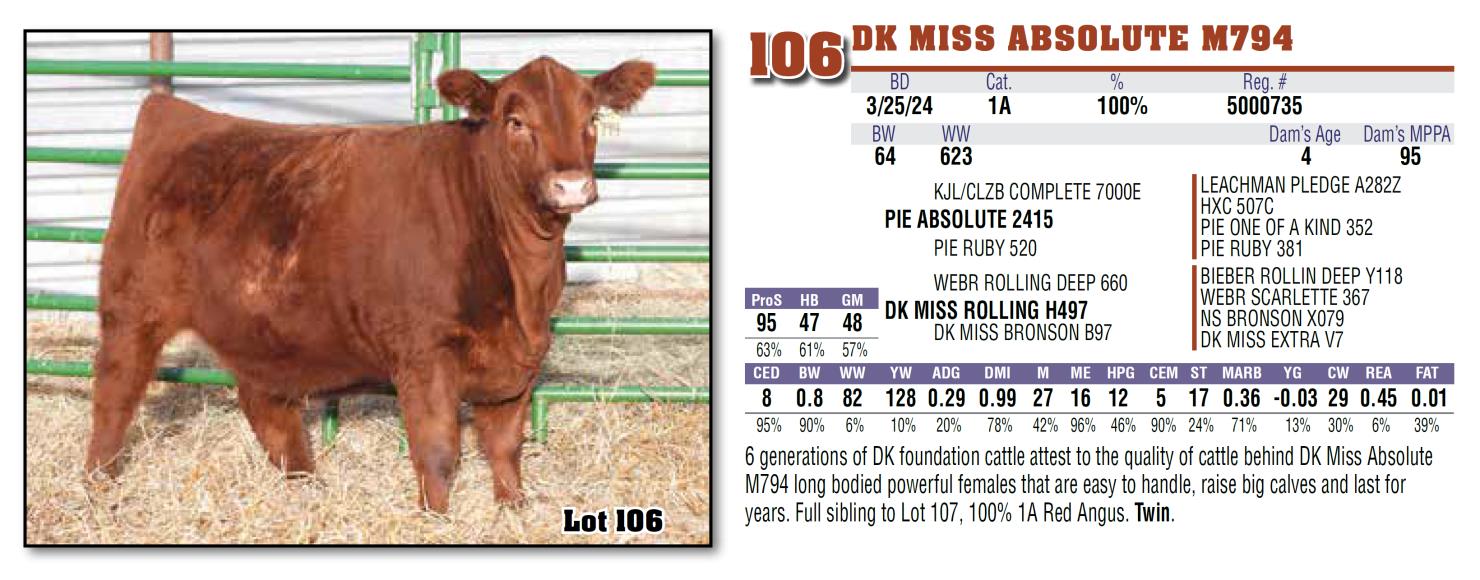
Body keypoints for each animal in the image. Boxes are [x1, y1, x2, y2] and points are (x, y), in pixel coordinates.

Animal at [83, 56, 656, 512]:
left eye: (592, 118)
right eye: (516, 121)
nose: (571, 185)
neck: (521, 282)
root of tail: (175, 110)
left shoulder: (519, 361)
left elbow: (505, 446)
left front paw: (514, 509)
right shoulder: (423, 355)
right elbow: (439, 451)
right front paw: (437, 519)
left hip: (260, 328)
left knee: (269, 411)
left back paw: (309, 489)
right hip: (131, 309)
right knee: (114, 396)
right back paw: (97, 486)